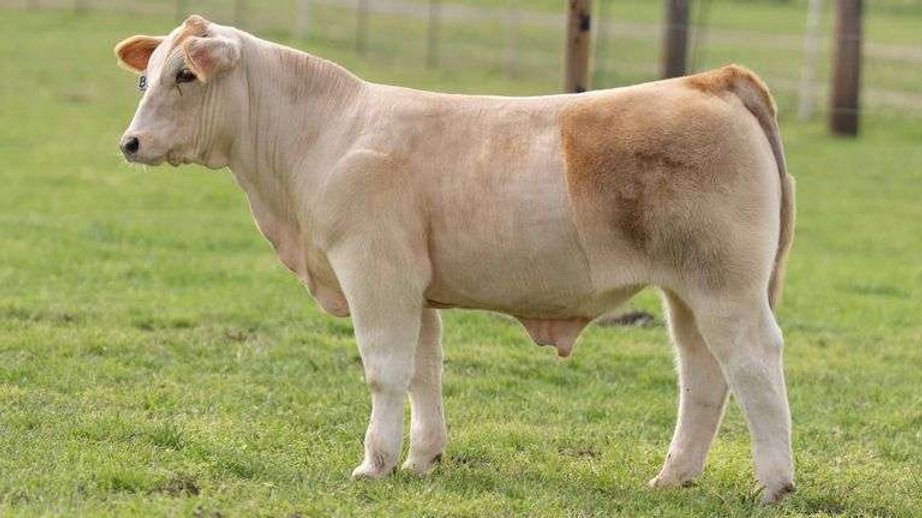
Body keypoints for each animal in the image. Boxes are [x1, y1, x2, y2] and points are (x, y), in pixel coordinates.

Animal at [114, 15, 796, 502]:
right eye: (146, 78)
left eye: (185, 76)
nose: (130, 142)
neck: (322, 135)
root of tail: (707, 80)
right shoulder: (418, 290)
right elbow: (424, 372)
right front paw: (421, 459)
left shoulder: (375, 272)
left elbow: (384, 370)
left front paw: (374, 463)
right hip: (686, 291)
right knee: (703, 374)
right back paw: (674, 476)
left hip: (726, 286)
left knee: (753, 363)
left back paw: (773, 483)